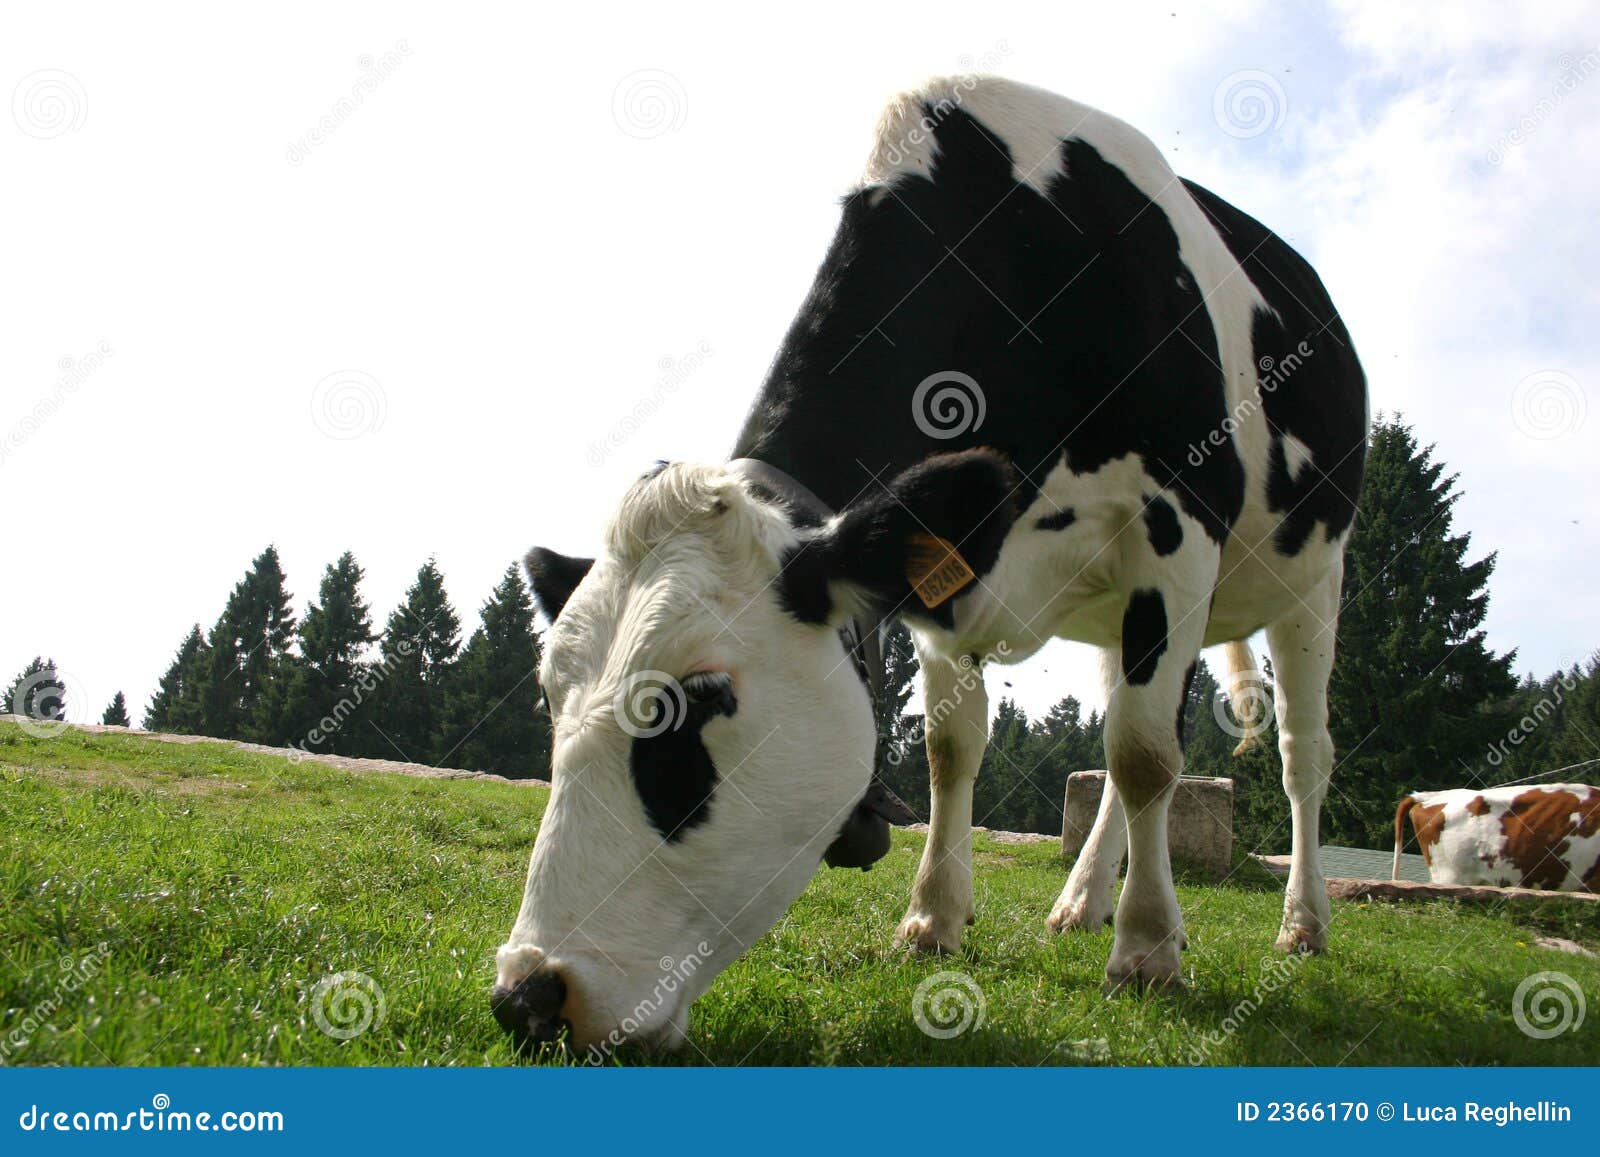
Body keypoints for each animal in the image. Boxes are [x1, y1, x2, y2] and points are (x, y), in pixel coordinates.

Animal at [492, 75, 1368, 1054]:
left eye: (693, 704)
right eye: (549, 699)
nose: (529, 995)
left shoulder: (1175, 529)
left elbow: (1147, 757)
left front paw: (1147, 953)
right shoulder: (945, 590)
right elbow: (959, 751)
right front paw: (934, 919)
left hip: (1312, 583)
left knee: (1293, 754)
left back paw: (1301, 923)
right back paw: (1081, 902)